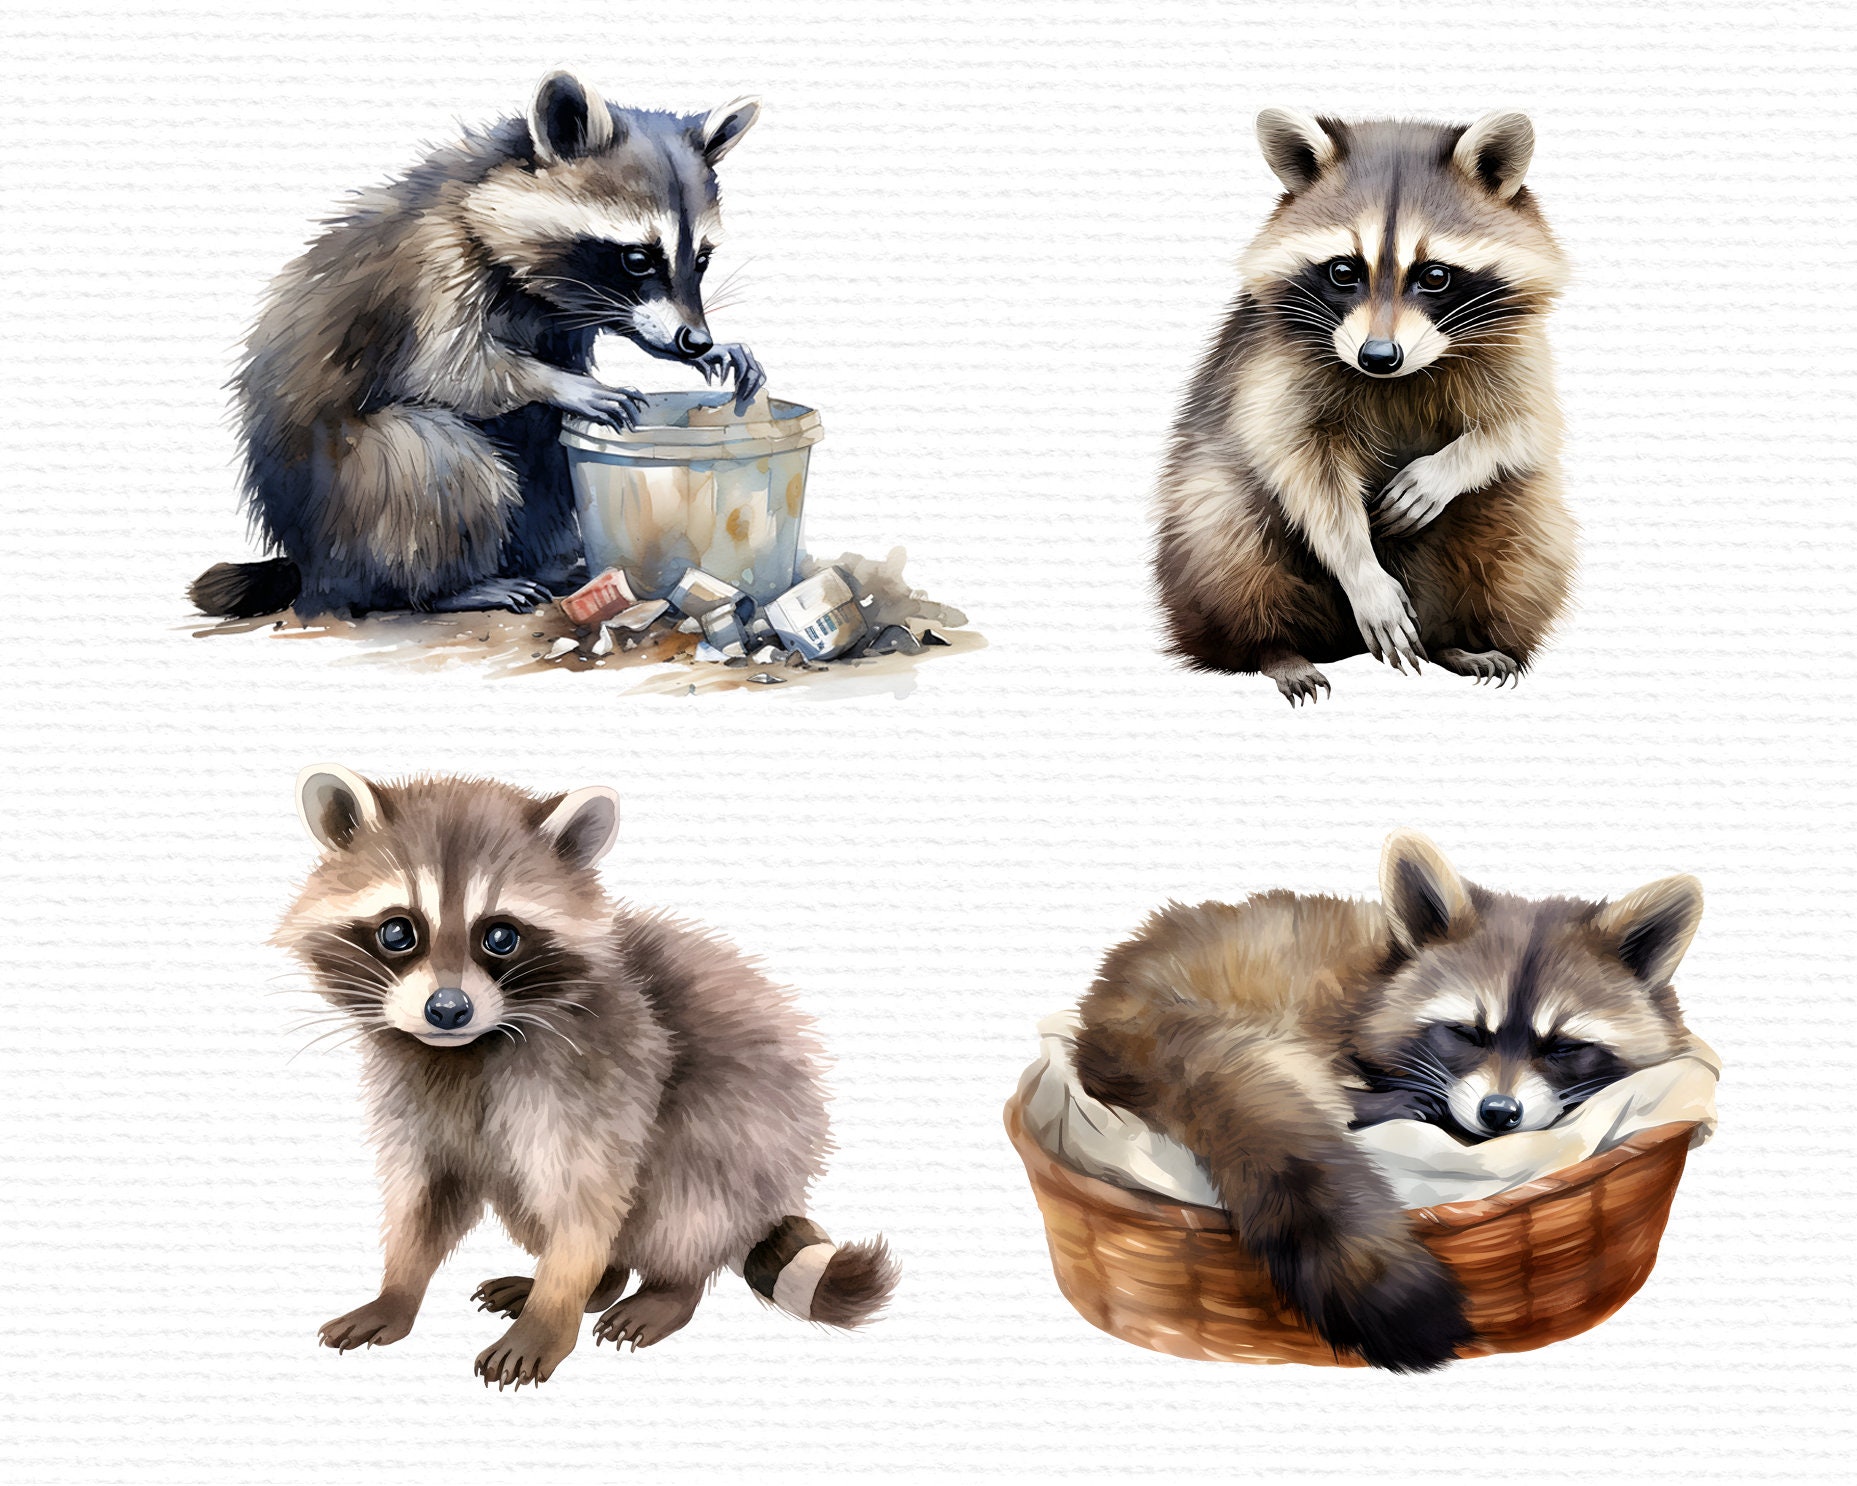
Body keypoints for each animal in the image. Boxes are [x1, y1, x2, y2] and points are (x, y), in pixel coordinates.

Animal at [191, 72, 767, 621]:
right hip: (349, 490)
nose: (694, 338)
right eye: (637, 258)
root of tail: (308, 563)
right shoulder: (436, 263)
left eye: (702, 259)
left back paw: (548, 561)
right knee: (434, 460)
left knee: (541, 454)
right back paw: (447, 588)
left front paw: (710, 349)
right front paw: (563, 383)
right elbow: (447, 370)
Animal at [278, 766, 897, 1388]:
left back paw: (669, 1287)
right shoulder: (413, 1096)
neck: (468, 1049)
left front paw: (549, 1318)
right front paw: (397, 1291)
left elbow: (585, 1204)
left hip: (741, 1141)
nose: (447, 1010)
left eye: (500, 936)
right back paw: (604, 1281)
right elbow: (425, 1198)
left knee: (686, 1197)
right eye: (398, 931)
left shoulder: (604, 1076)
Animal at [1154, 110, 1578, 703]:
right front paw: (1362, 572)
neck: (1398, 379)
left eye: (1435, 275)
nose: (1378, 356)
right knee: (1224, 526)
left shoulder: (1516, 346)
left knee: (1524, 530)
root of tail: (1340, 641)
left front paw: (1447, 468)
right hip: (1211, 531)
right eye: (1342, 271)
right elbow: (1298, 460)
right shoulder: (1271, 359)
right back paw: (1274, 650)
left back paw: (1458, 642)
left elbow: (1525, 425)